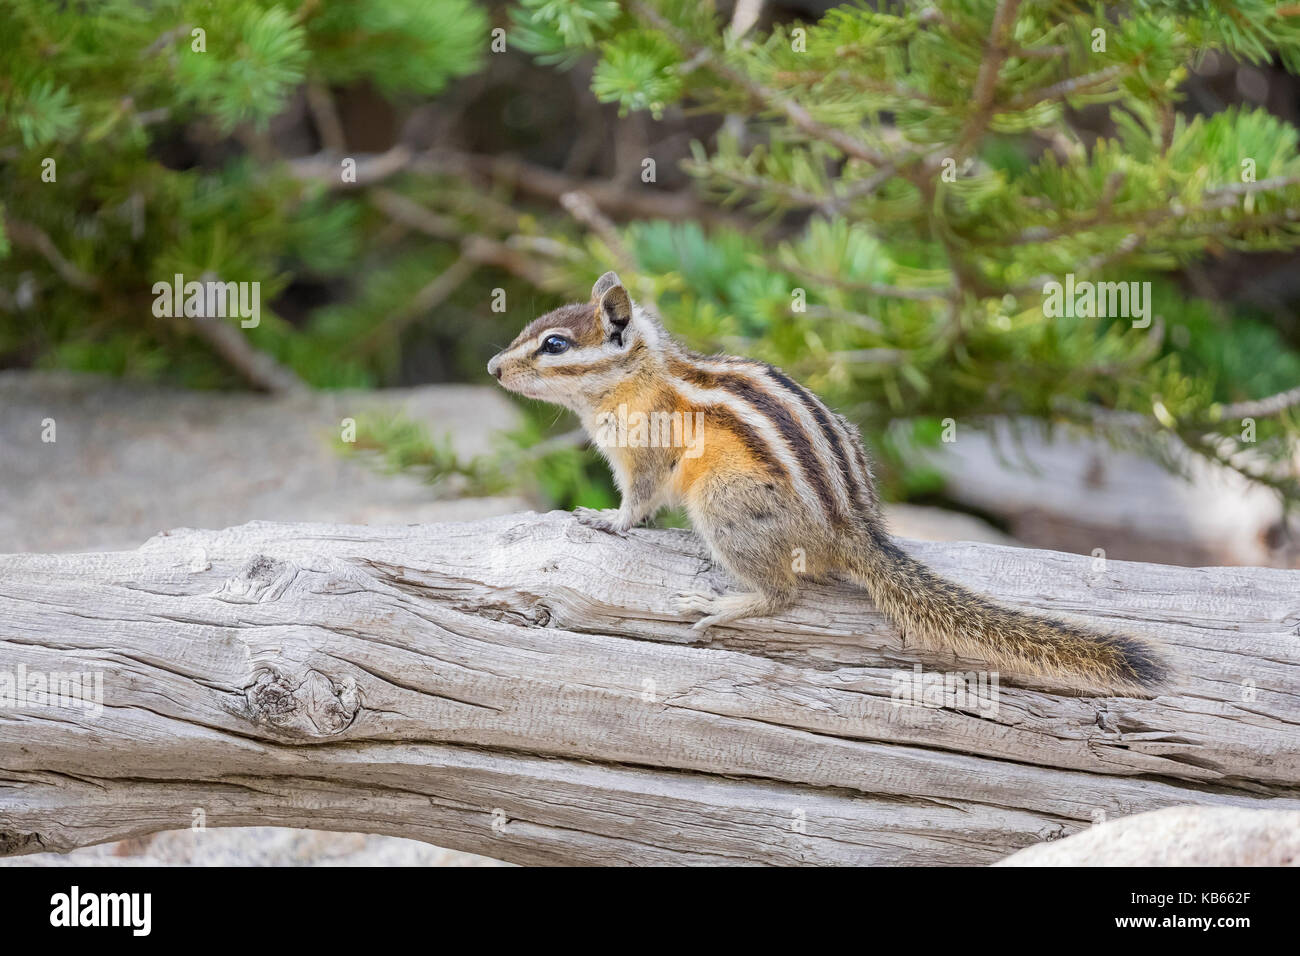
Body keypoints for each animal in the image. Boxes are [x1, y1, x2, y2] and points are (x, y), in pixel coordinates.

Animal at [487, 272, 1165, 695]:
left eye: (554, 344)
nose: (493, 366)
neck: (641, 377)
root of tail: (851, 529)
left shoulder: (646, 452)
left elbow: (639, 496)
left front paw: (608, 520)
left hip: (724, 503)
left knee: (783, 594)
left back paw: (721, 605)